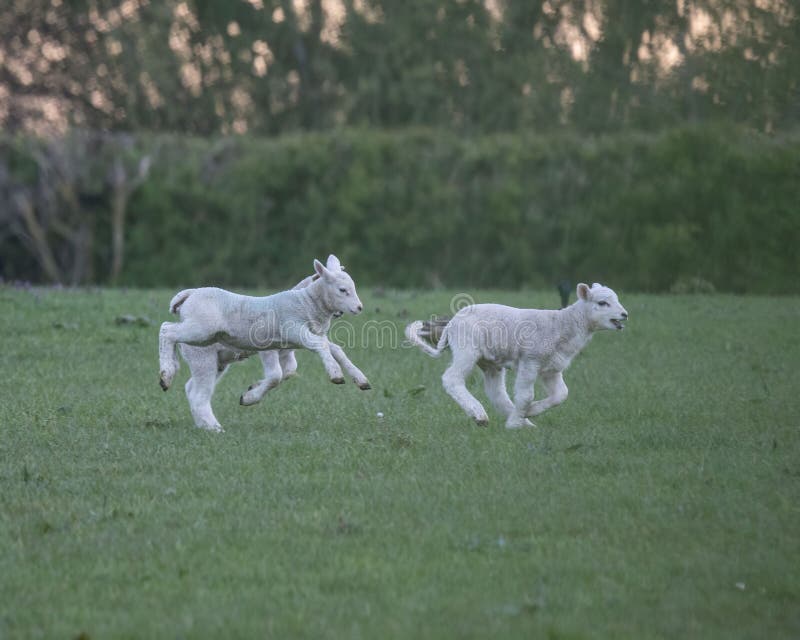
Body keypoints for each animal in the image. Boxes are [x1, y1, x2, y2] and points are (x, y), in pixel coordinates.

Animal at [159, 254, 371, 431]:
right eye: (342, 290)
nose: (359, 307)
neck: (307, 303)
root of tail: (189, 294)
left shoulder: (294, 343)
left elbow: (333, 350)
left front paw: (360, 379)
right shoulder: (284, 334)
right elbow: (285, 370)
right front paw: (335, 374)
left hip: (206, 349)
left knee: (187, 378)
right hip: (201, 337)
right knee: (167, 333)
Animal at [405, 283, 628, 429]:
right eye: (602, 303)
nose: (625, 315)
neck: (563, 324)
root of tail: (451, 322)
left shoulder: (552, 369)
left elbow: (561, 394)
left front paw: (528, 413)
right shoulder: (530, 360)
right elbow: (527, 395)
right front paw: (515, 422)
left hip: (491, 362)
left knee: (496, 392)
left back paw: (522, 421)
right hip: (466, 350)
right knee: (452, 379)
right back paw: (481, 415)